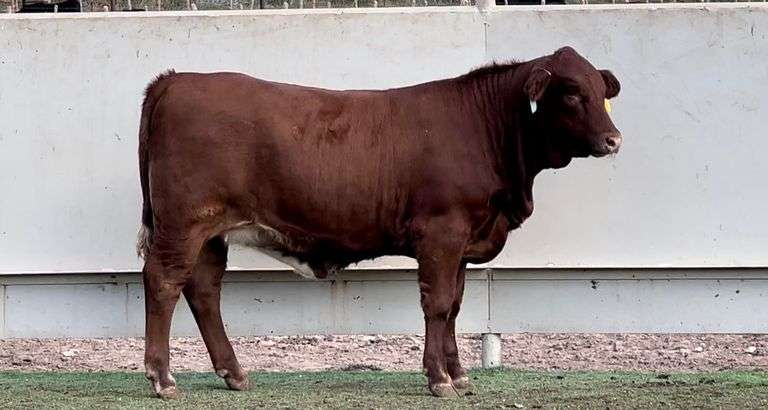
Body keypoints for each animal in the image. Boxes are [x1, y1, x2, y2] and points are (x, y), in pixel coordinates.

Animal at [136, 46, 621, 399]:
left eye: (602, 91)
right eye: (571, 92)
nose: (614, 139)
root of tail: (177, 79)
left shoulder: (463, 243)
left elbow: (455, 305)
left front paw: (459, 374)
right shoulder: (441, 233)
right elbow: (437, 304)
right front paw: (439, 379)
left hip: (211, 233)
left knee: (203, 291)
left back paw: (234, 374)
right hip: (184, 223)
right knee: (164, 282)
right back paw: (163, 378)